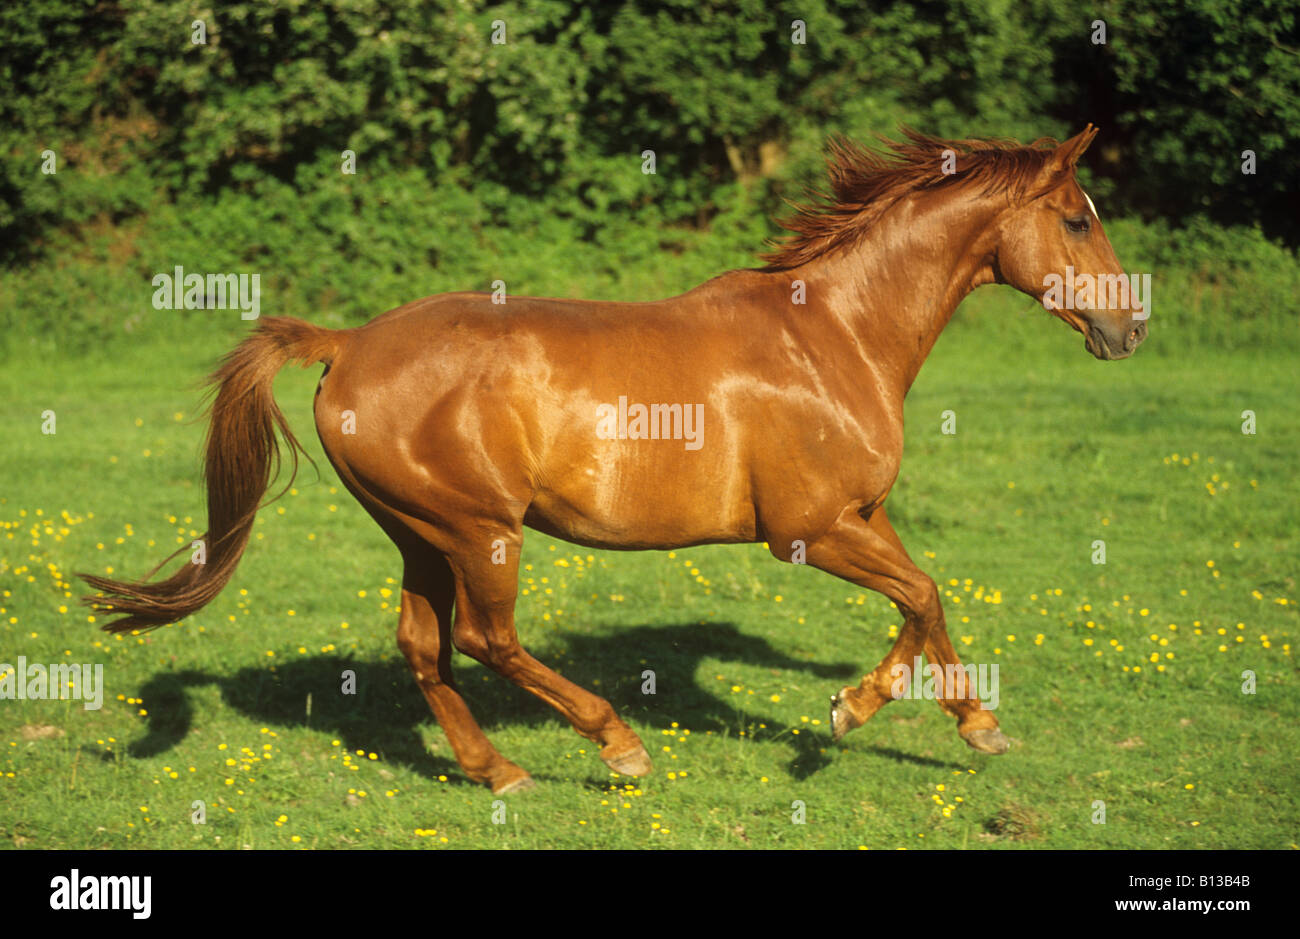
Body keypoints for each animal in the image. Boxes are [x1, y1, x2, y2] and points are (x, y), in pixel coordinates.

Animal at [82, 125, 1146, 793]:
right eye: (1078, 218)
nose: (1130, 327)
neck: (835, 337)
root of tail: (344, 344)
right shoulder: (807, 531)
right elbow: (922, 595)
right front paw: (851, 712)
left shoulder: (862, 514)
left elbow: (927, 600)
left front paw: (967, 723)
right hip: (481, 529)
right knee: (488, 640)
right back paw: (617, 746)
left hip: (419, 534)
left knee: (425, 648)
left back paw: (499, 772)